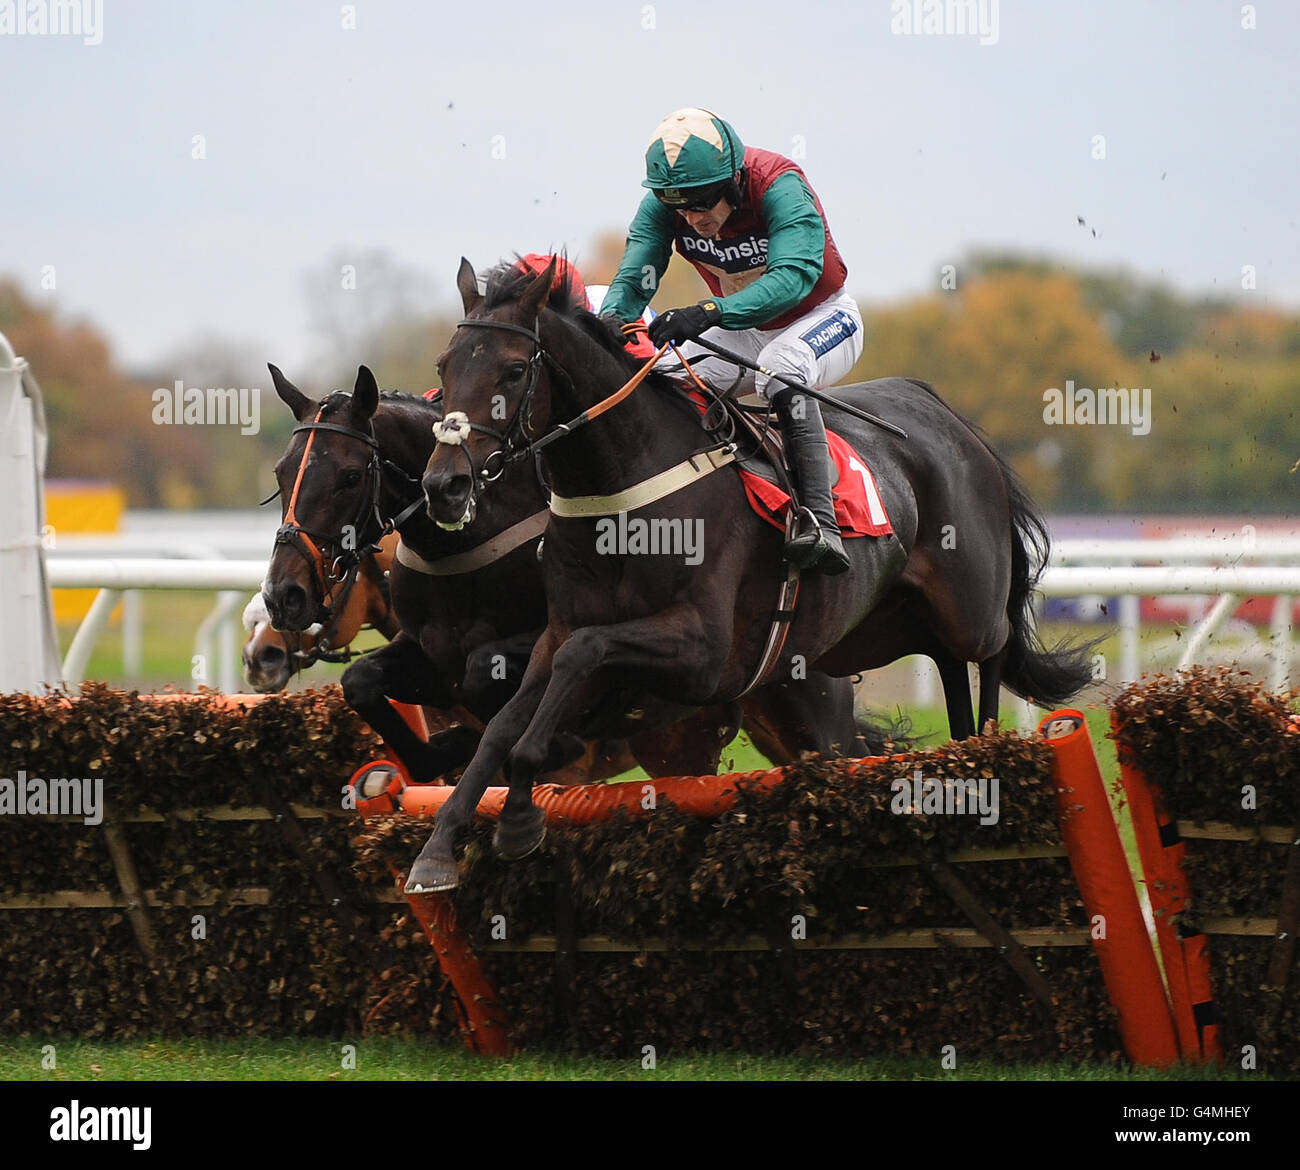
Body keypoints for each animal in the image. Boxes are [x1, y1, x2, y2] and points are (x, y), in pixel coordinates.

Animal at [259, 365, 883, 787]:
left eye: (348, 475)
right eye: (281, 473)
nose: (282, 598)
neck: (471, 539)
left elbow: (486, 671)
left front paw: (489, 736)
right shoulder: (427, 650)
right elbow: (361, 680)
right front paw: (449, 747)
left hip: (808, 718)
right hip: (685, 743)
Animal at [405, 258, 1093, 891]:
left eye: (514, 370)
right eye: (443, 365)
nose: (445, 485)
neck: (624, 490)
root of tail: (944, 411)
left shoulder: (705, 653)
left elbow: (583, 657)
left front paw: (521, 811)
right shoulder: (558, 628)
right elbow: (502, 722)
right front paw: (439, 847)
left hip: (968, 605)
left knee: (990, 651)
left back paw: (990, 754)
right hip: (878, 629)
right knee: (946, 666)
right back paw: (962, 756)